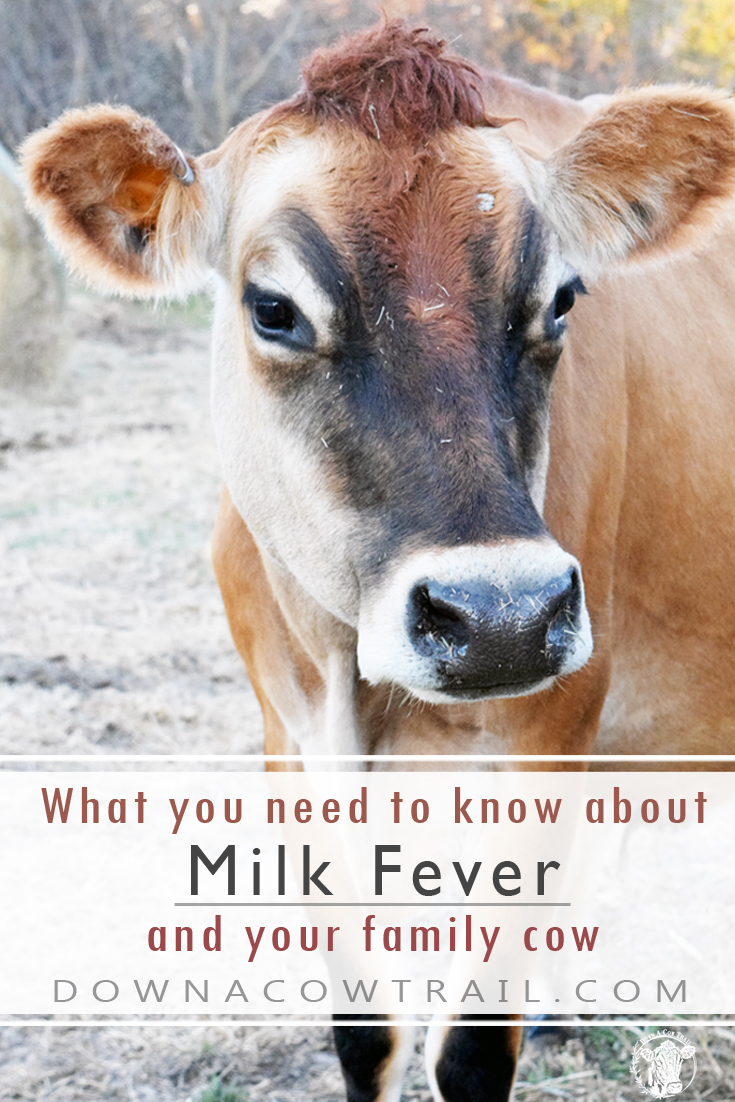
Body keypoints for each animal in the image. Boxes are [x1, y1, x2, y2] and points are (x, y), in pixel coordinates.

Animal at [21, 18, 735, 1102]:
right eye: (273, 307)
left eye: (561, 301)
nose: (500, 618)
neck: (353, 672)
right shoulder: (289, 735)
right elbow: (365, 1030)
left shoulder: (553, 724)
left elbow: (472, 1050)